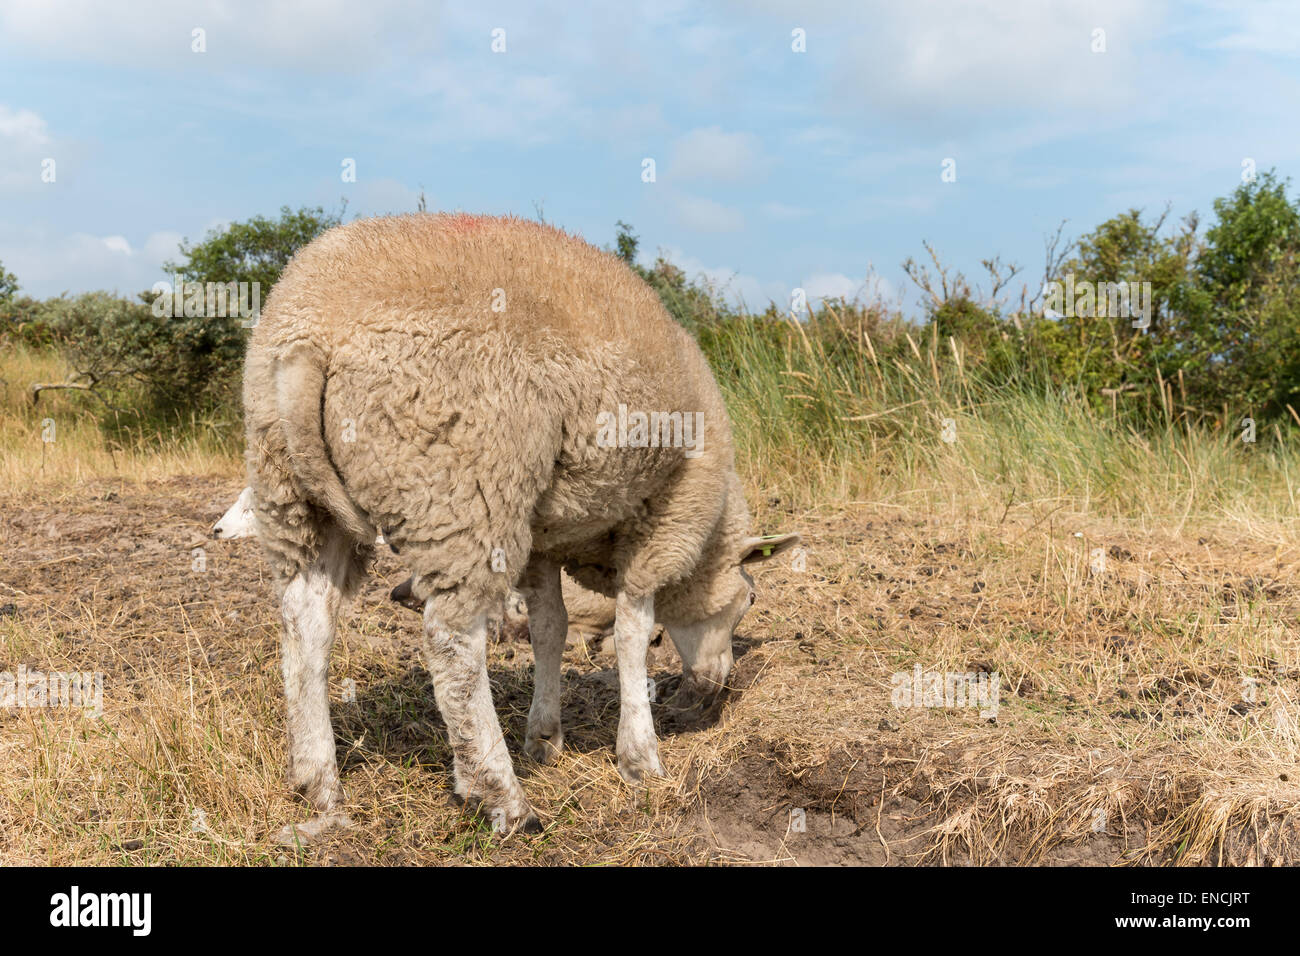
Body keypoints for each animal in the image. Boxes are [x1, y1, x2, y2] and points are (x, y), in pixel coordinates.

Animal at [243, 212, 800, 841]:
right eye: (748, 602)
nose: (715, 691)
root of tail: (316, 333)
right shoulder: (668, 516)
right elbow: (632, 632)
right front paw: (640, 755)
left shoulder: (543, 538)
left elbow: (550, 628)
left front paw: (545, 735)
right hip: (465, 485)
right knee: (452, 641)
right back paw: (502, 796)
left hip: (291, 495)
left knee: (305, 623)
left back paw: (317, 784)